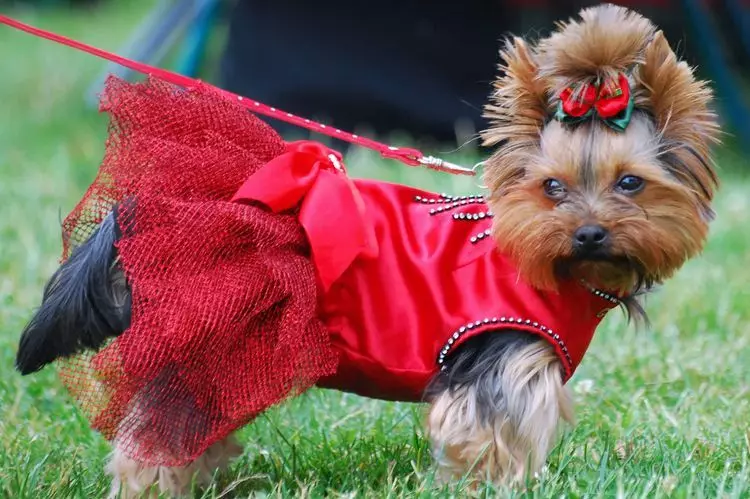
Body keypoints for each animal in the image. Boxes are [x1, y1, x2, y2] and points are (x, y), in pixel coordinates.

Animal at [14, 4, 720, 499]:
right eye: (552, 188)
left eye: (630, 184)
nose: (590, 234)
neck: (551, 265)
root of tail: (142, 211)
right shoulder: (500, 364)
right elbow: (489, 440)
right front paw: (493, 487)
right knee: (153, 437)